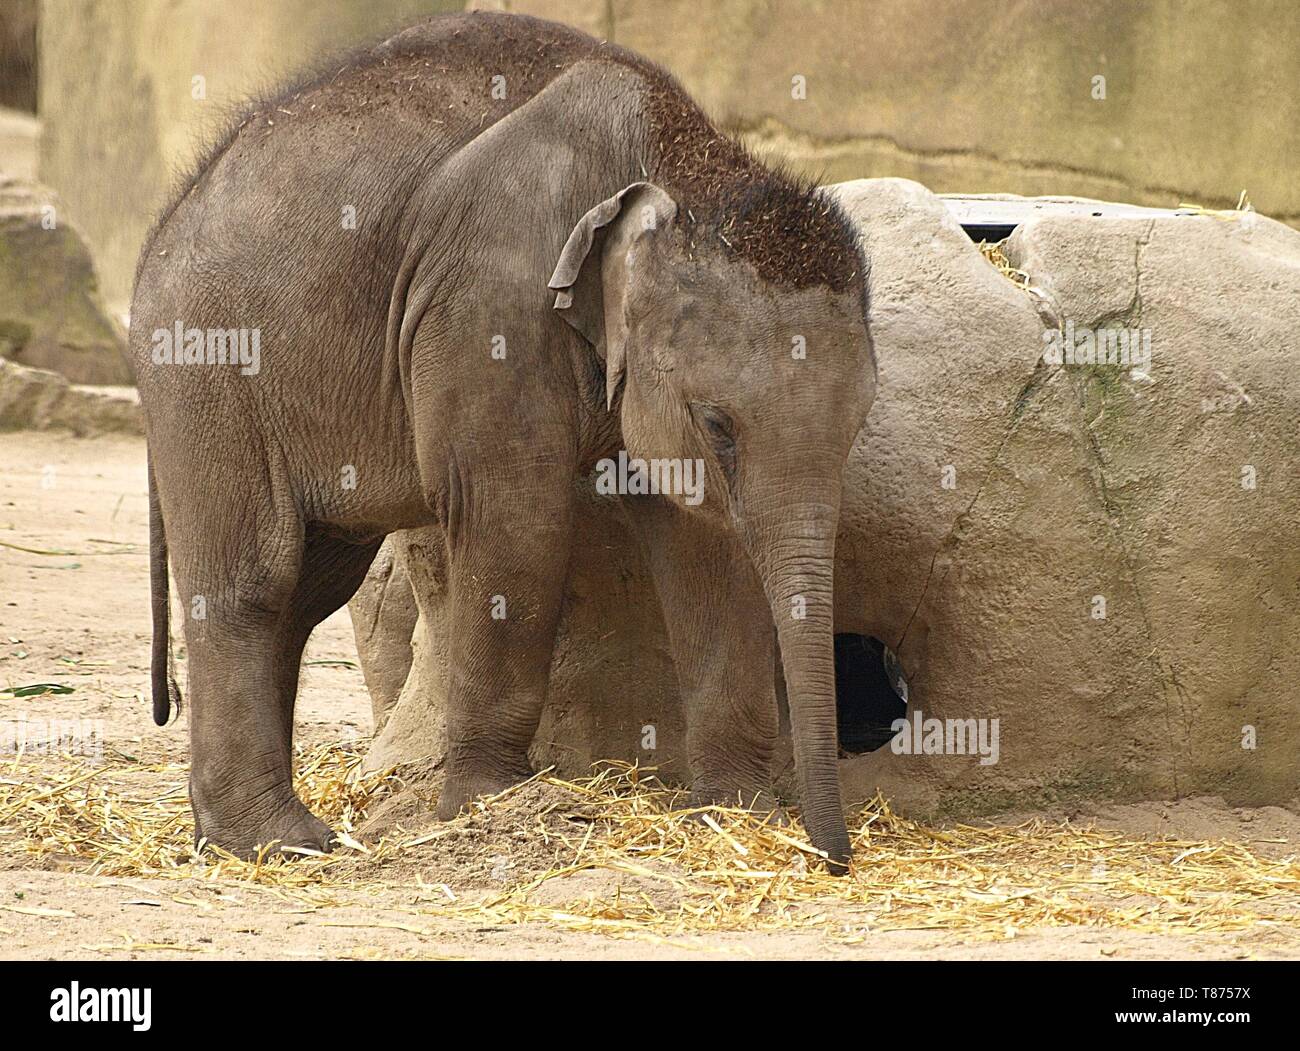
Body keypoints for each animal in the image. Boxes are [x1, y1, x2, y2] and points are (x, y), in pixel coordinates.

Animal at [131, 11, 876, 868]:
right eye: (718, 424)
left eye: (859, 425)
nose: (835, 856)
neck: (679, 160)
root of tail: (163, 222)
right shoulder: (489, 305)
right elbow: (517, 518)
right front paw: (492, 803)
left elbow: (703, 543)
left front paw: (737, 810)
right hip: (206, 370)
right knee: (254, 581)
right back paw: (279, 843)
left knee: (308, 587)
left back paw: (244, 833)